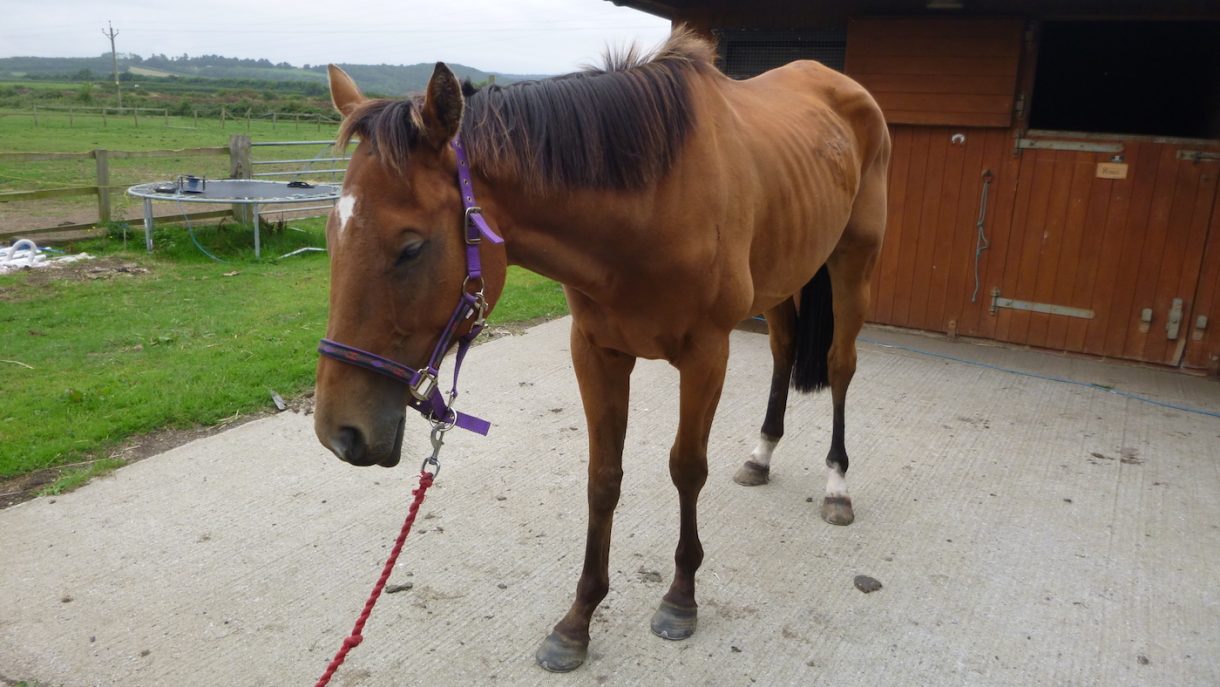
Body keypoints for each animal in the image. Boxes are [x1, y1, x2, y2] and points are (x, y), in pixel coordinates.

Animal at [313, 28, 890, 672]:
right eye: (332, 235)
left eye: (411, 247)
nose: (340, 433)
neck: (652, 204)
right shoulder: (596, 353)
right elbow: (603, 478)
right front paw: (577, 621)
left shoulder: (706, 356)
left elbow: (687, 469)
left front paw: (680, 598)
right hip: (788, 275)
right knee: (785, 350)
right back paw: (761, 454)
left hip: (854, 262)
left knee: (840, 366)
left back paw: (837, 484)